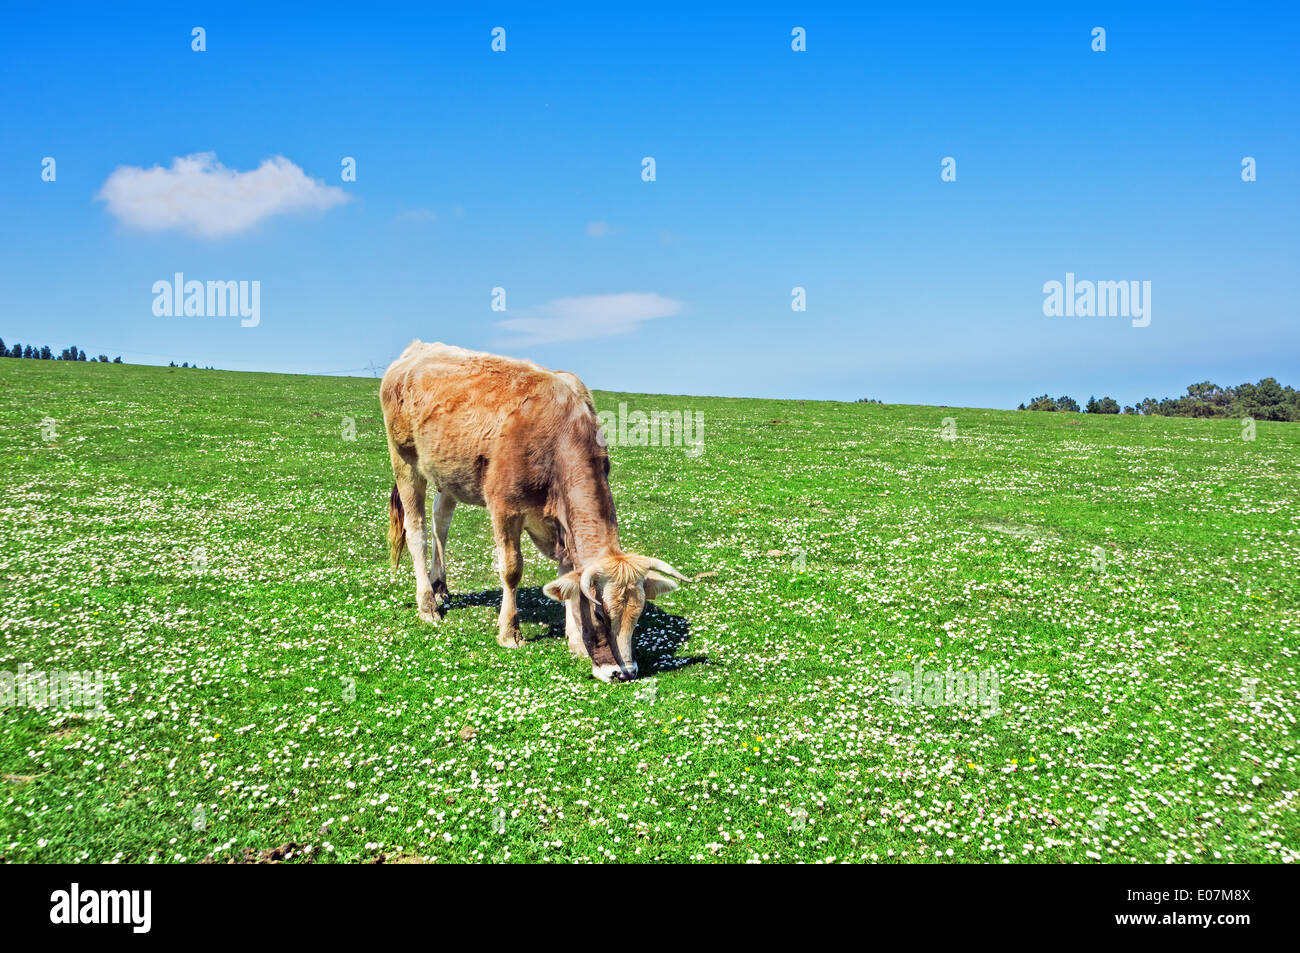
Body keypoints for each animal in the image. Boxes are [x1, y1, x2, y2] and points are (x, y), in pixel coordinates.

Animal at [380, 341, 689, 682]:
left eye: (638, 614)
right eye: (599, 612)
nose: (623, 673)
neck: (557, 436)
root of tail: (417, 350)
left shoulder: (561, 523)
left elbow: (568, 575)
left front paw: (575, 641)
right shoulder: (505, 508)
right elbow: (512, 569)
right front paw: (509, 633)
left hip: (448, 474)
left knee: (440, 523)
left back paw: (440, 588)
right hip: (405, 462)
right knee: (417, 532)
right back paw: (427, 605)